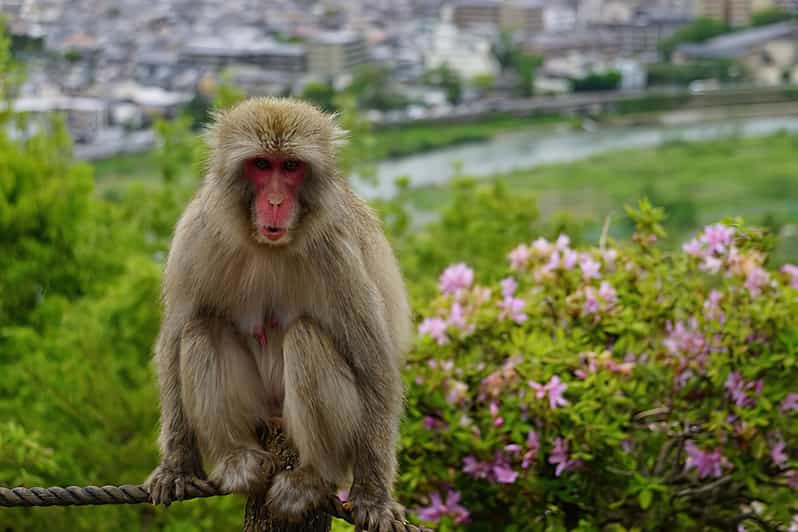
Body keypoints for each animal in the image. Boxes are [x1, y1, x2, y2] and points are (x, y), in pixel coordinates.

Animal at [145, 97, 411, 531]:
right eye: (260, 165)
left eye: (289, 167)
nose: (273, 202)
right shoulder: (195, 235)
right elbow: (172, 340)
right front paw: (177, 465)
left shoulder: (338, 252)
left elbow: (373, 366)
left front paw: (373, 496)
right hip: (257, 410)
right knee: (200, 328)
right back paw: (238, 459)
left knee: (305, 337)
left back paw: (312, 478)